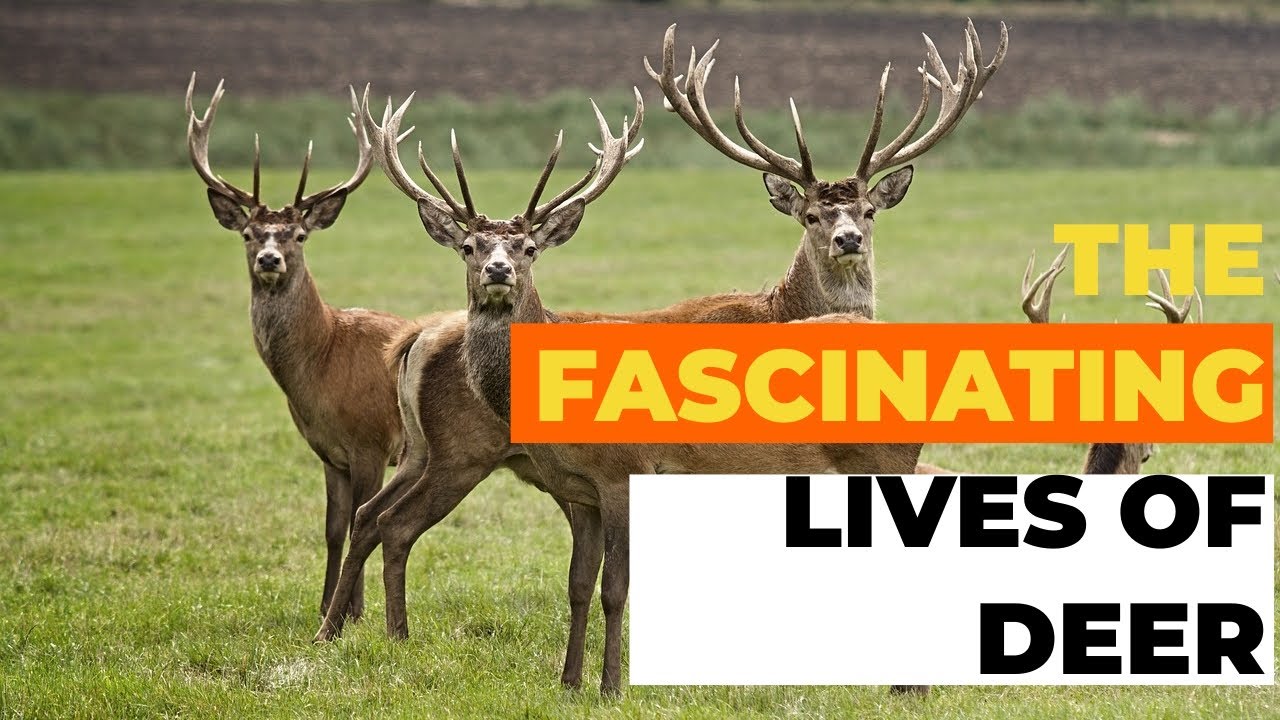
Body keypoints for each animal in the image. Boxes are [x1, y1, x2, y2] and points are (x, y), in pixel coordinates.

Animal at [186, 74, 427, 622]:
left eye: (298, 234)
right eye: (249, 234)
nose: (270, 259)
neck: (322, 365)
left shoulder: (370, 442)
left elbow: (364, 521)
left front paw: (353, 611)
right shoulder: (328, 453)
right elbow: (333, 529)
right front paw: (324, 606)